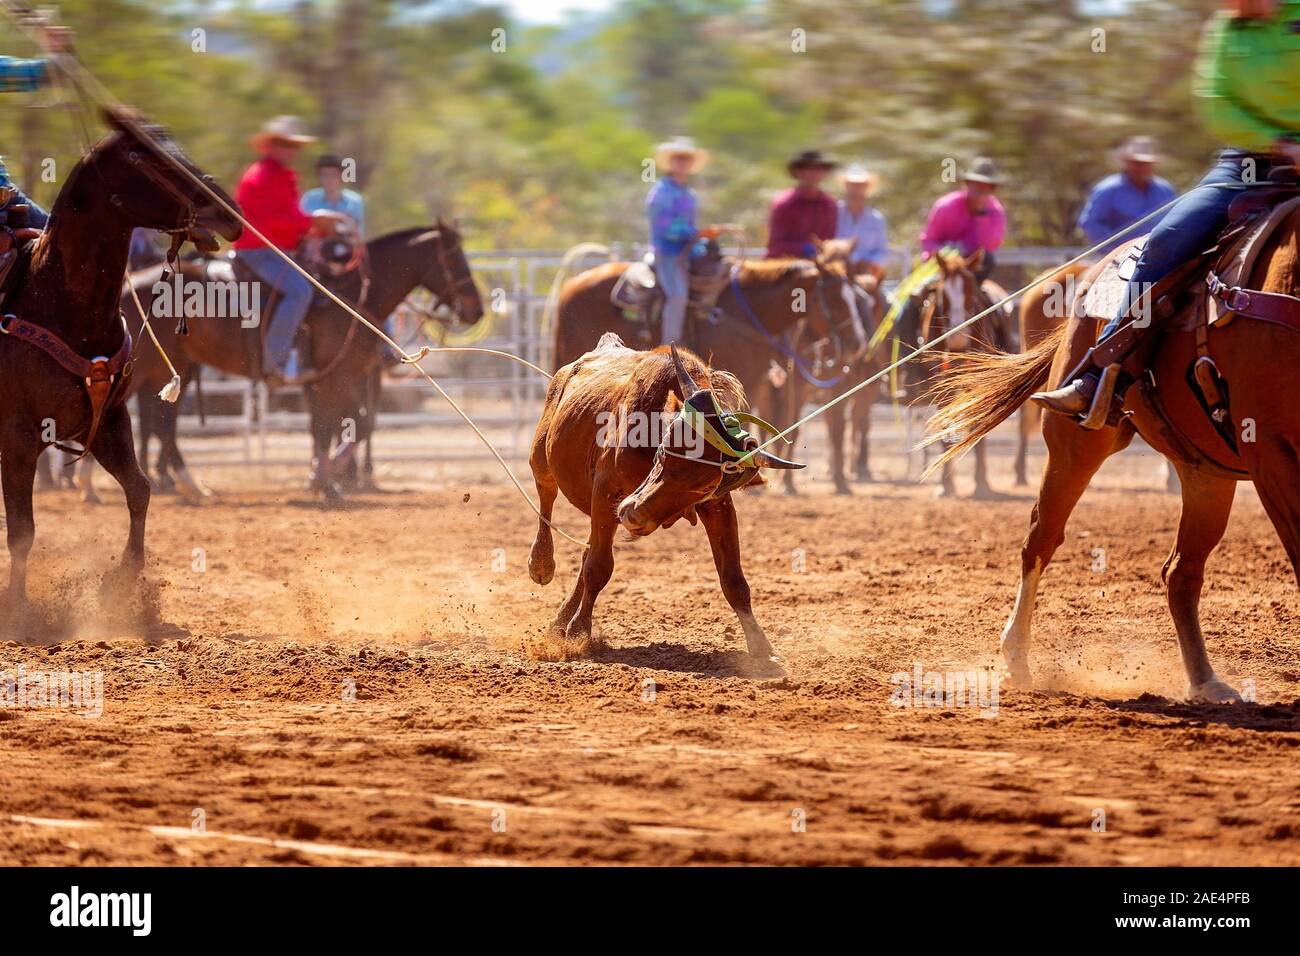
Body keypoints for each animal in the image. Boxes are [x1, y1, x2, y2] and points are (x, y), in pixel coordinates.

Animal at [527, 333, 803, 662]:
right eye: (666, 449)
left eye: (705, 485)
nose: (633, 514)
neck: (649, 429)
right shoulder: (606, 493)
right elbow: (598, 567)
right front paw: (580, 633)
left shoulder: (719, 506)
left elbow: (734, 580)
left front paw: (762, 647)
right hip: (542, 456)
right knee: (546, 496)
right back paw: (541, 563)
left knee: (587, 550)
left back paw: (558, 622)